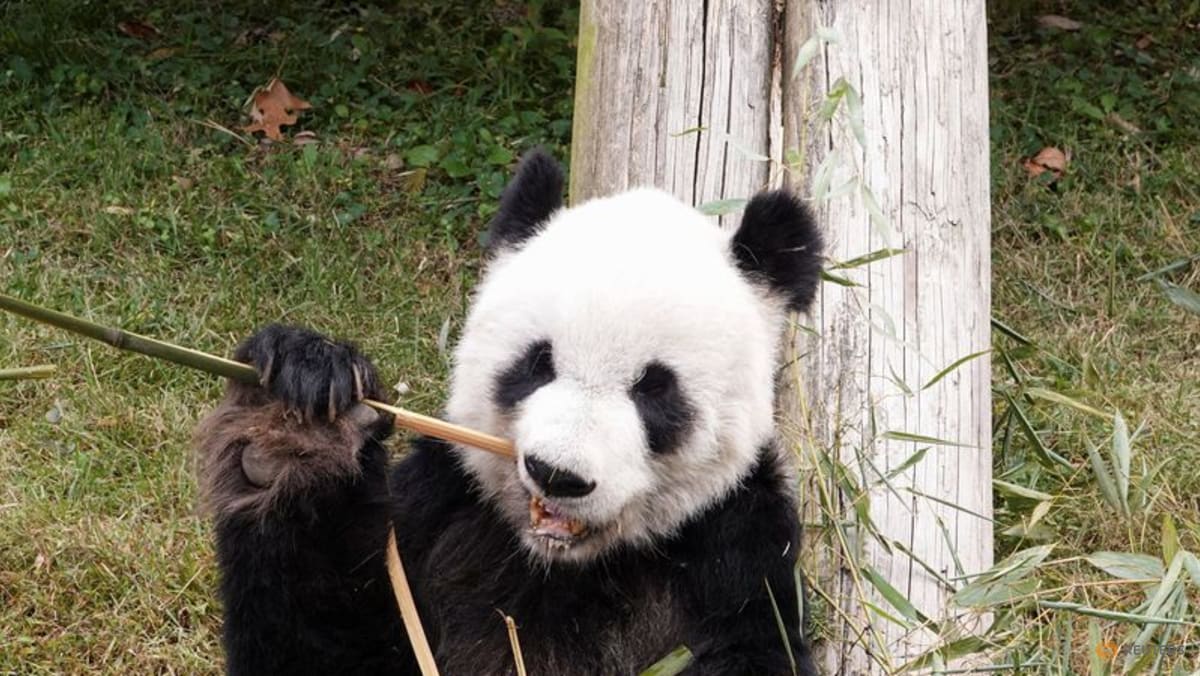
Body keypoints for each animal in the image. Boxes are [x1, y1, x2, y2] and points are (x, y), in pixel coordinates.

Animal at [194, 150, 823, 676]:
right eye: (536, 363)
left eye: (655, 390)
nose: (558, 475)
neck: (562, 565)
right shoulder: (439, 509)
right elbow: (324, 646)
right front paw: (292, 429)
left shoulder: (737, 546)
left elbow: (752, 650)